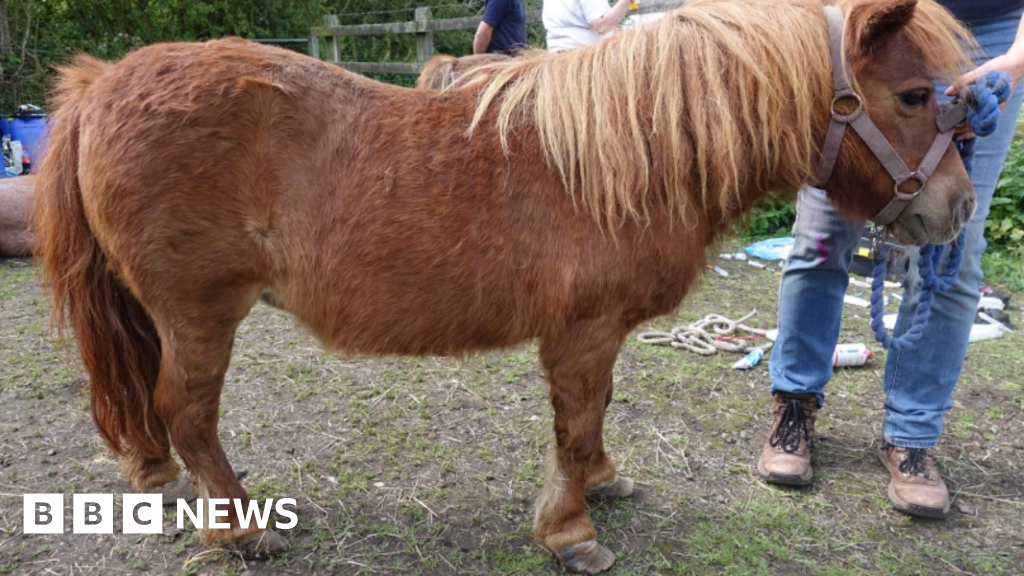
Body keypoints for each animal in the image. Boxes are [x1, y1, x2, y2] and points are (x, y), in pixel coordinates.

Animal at [34, 0, 975, 572]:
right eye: (913, 94)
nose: (958, 207)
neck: (626, 157)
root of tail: (102, 81)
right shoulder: (583, 332)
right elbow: (576, 423)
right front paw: (571, 530)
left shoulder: (596, 335)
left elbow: (594, 421)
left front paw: (602, 484)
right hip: (199, 313)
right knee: (187, 413)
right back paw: (237, 528)